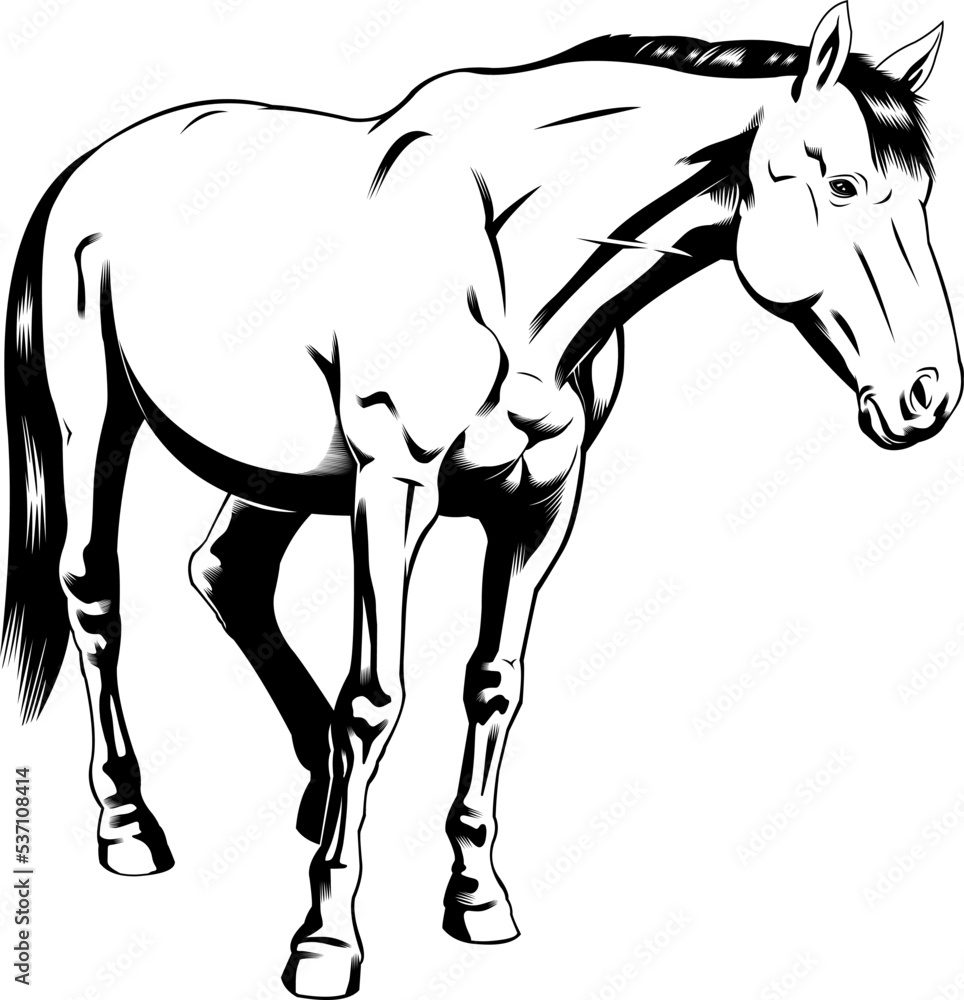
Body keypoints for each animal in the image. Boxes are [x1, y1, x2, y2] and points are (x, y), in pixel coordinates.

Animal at [3, 4, 960, 996]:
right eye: (844, 185)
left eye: (925, 191)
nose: (927, 396)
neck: (515, 281)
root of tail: (83, 171)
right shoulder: (392, 487)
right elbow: (373, 701)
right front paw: (326, 938)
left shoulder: (540, 504)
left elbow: (494, 685)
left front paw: (475, 893)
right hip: (97, 425)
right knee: (94, 594)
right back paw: (130, 823)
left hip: (280, 469)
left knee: (229, 573)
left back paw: (311, 792)